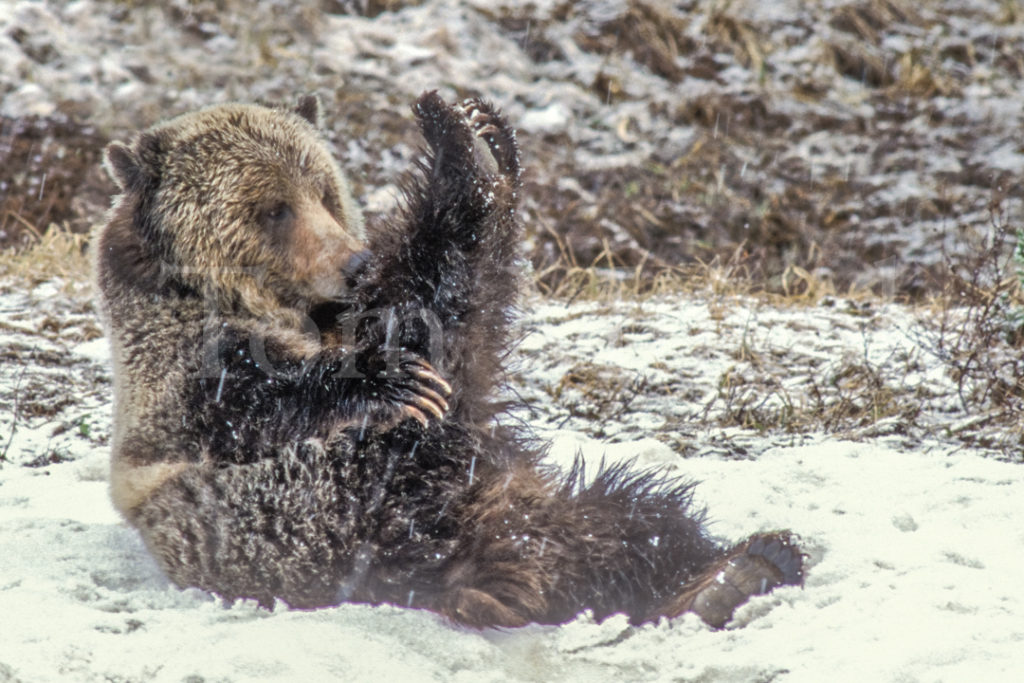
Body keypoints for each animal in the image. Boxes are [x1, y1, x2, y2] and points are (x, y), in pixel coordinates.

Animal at [93, 91, 803, 629]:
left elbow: (442, 314)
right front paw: (390, 379)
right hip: (337, 516)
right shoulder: (182, 389)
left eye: (324, 189)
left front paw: (485, 140)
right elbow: (260, 399)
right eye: (272, 208)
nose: (353, 263)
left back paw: (740, 569)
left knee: (637, 523)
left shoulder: (372, 319)